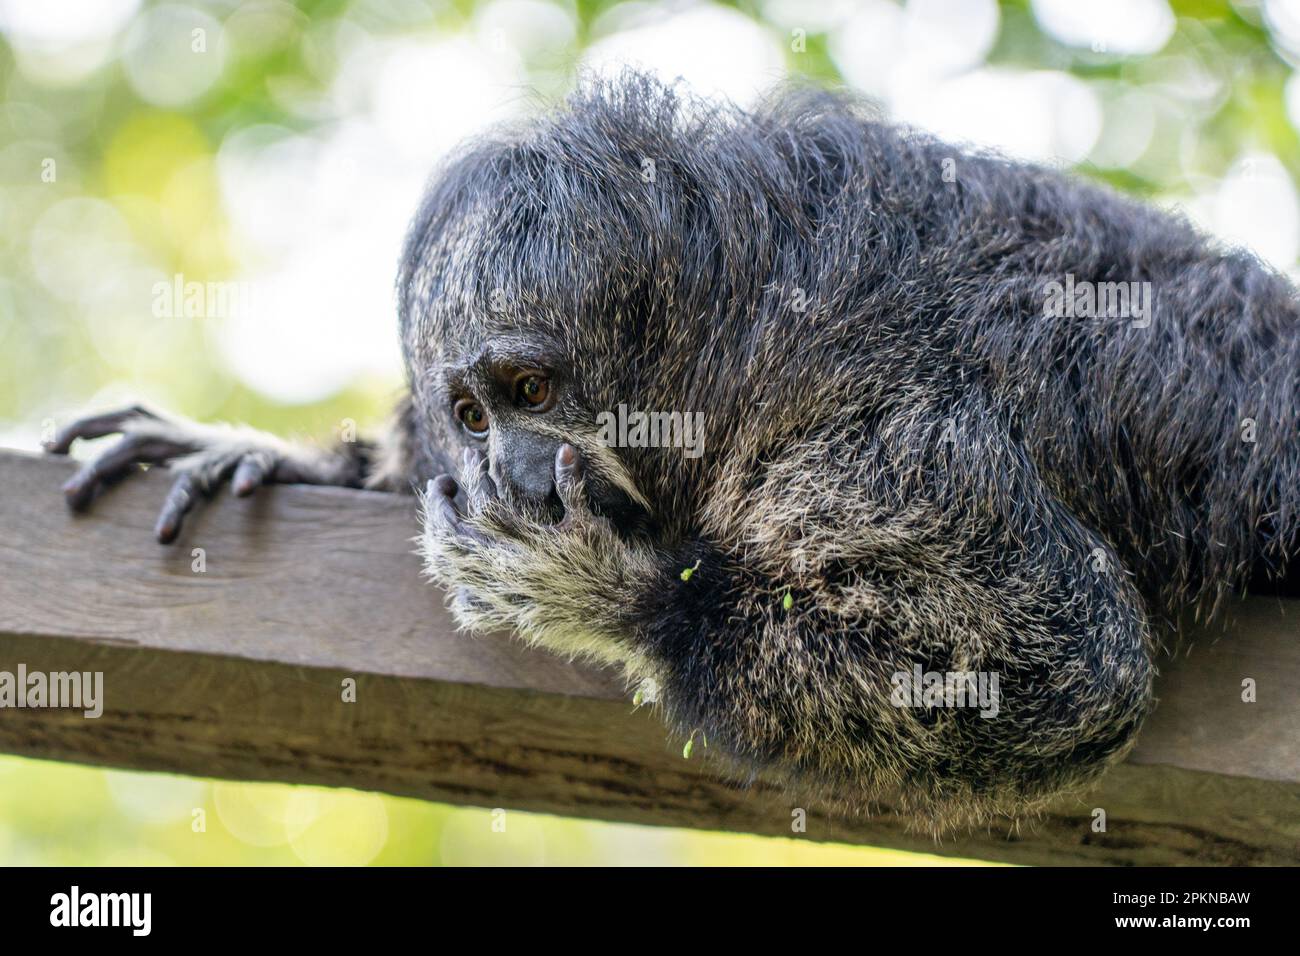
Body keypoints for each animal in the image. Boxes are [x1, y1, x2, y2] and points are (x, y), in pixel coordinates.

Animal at [43, 72, 1300, 831]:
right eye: (470, 415)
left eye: (531, 391)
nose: (508, 470)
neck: (729, 331)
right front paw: (283, 453)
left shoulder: (875, 430)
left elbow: (1071, 671)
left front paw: (618, 594)